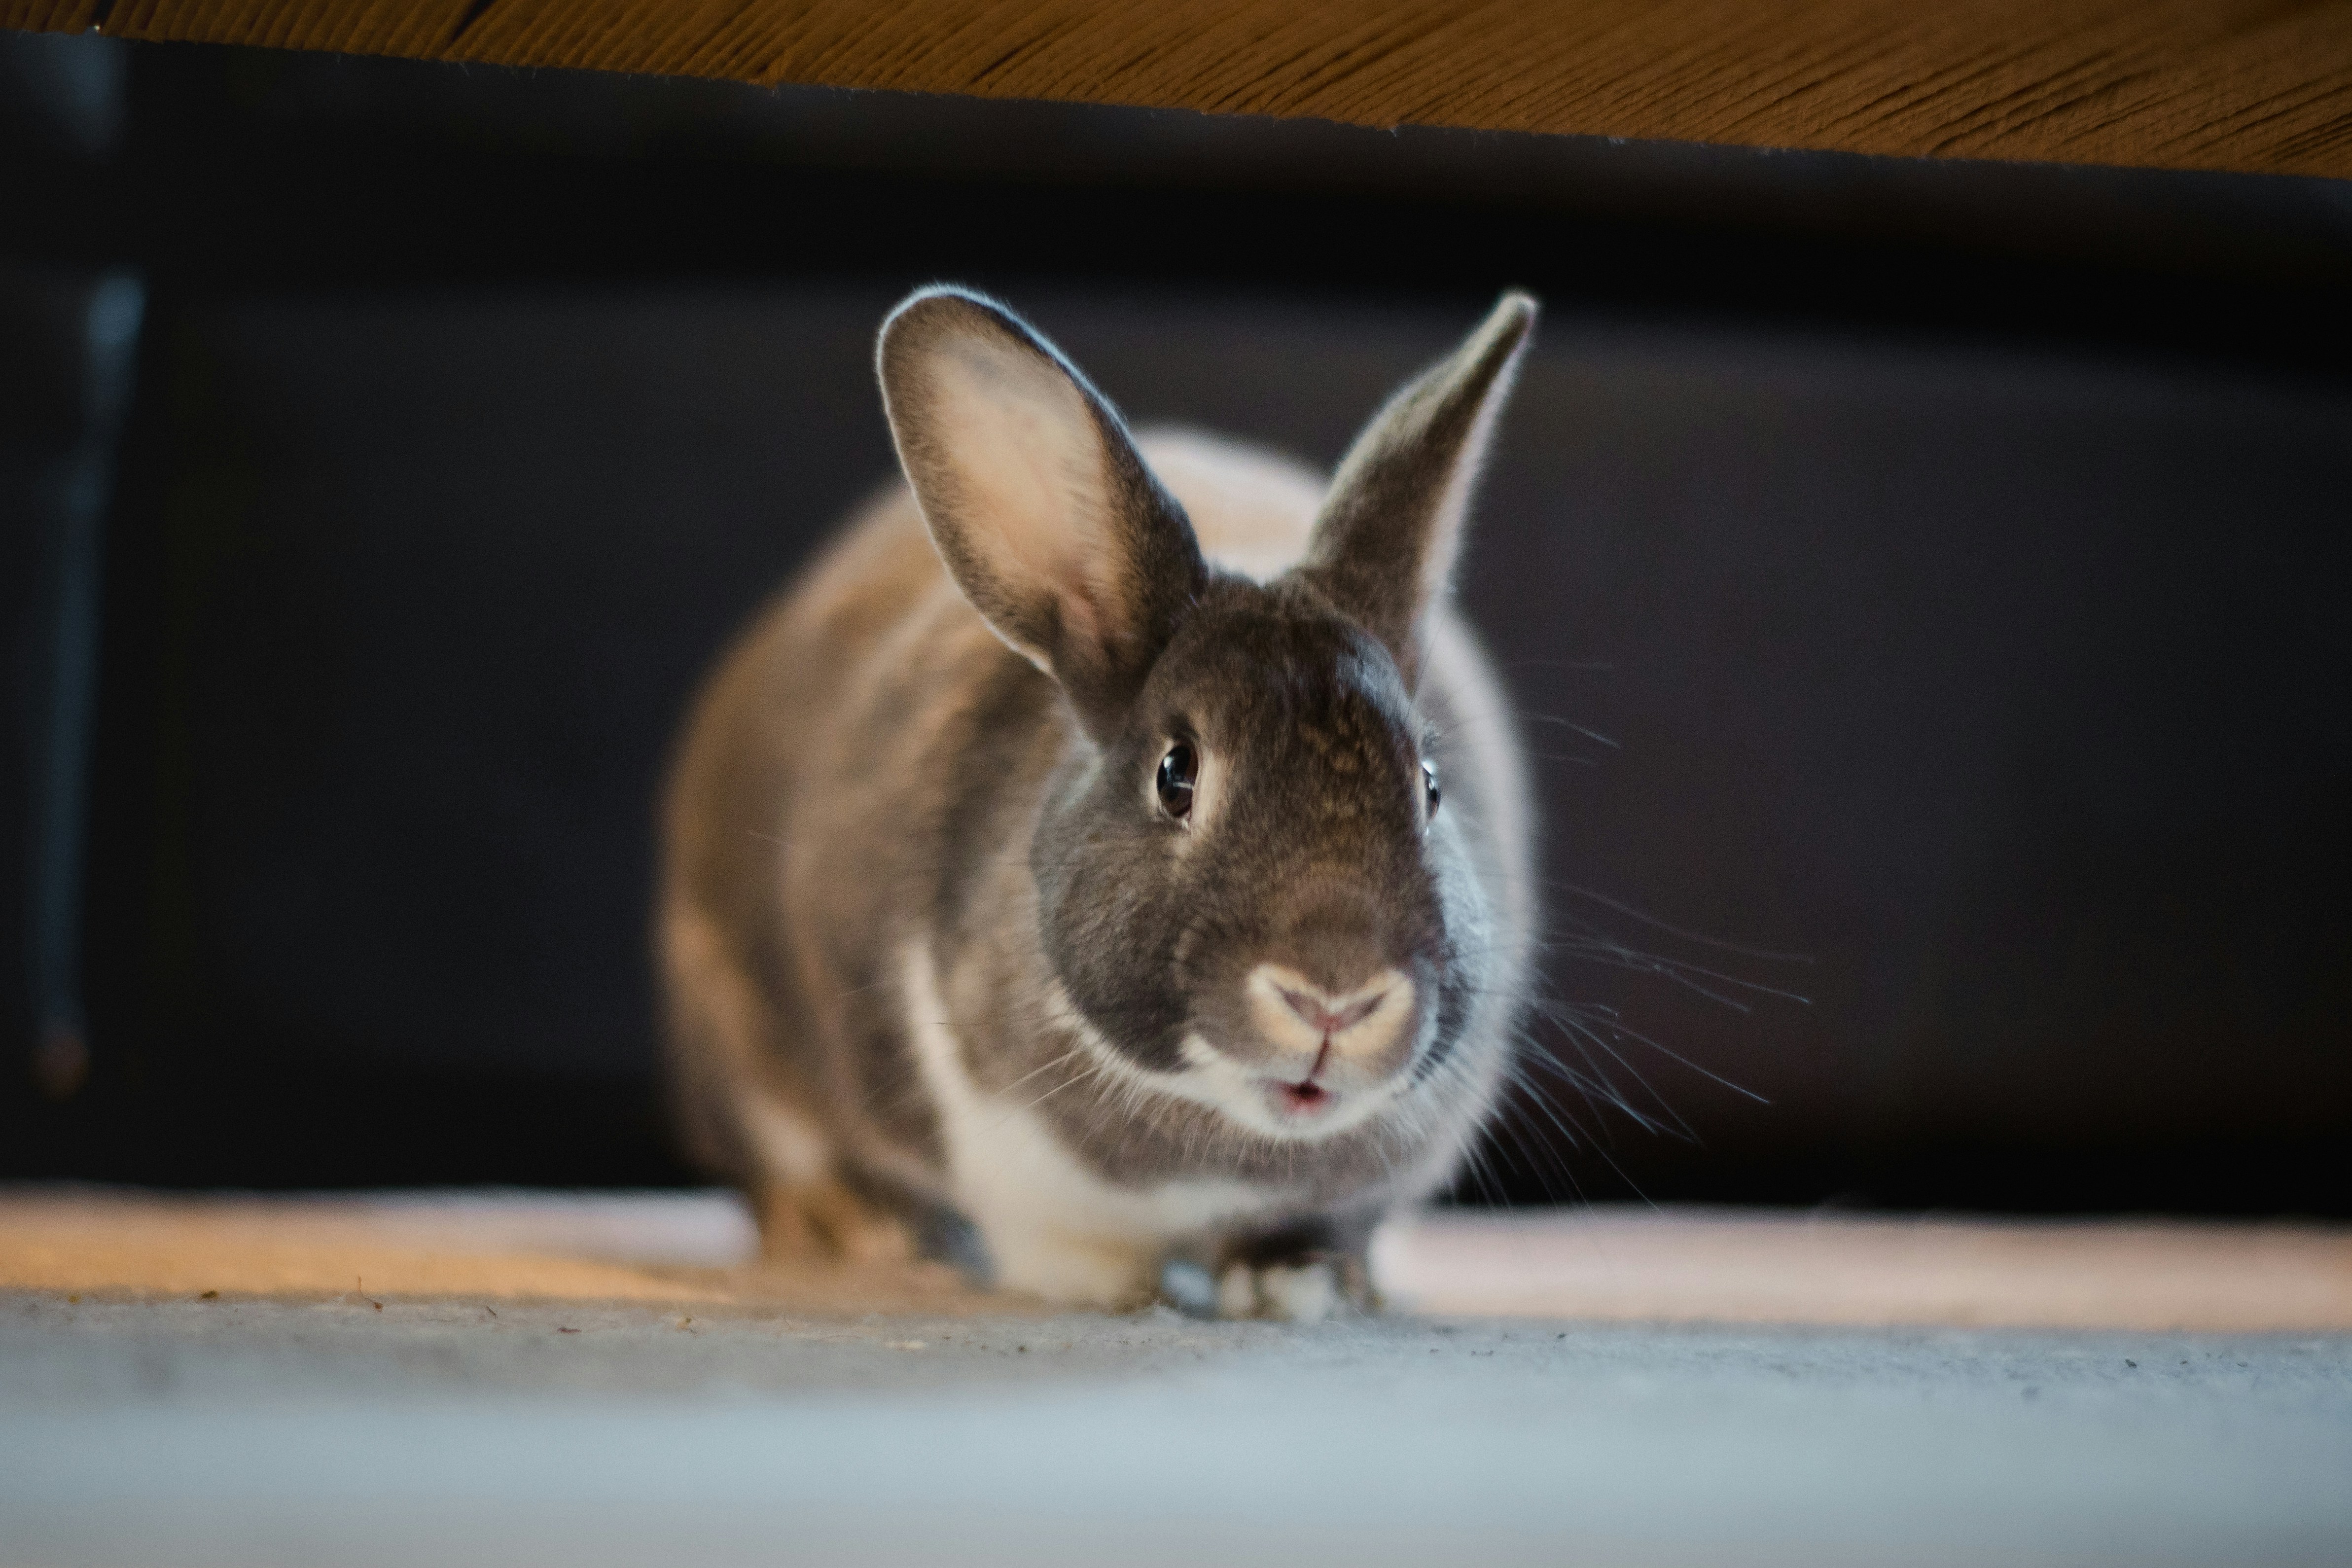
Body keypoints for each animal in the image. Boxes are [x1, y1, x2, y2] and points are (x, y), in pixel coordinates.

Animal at [657, 286, 1538, 1320]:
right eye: (1177, 774)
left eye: (1431, 785)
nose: (1334, 995)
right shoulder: (1018, 1178)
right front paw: (1134, 1298)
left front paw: (1304, 1288)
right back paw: (863, 1229)